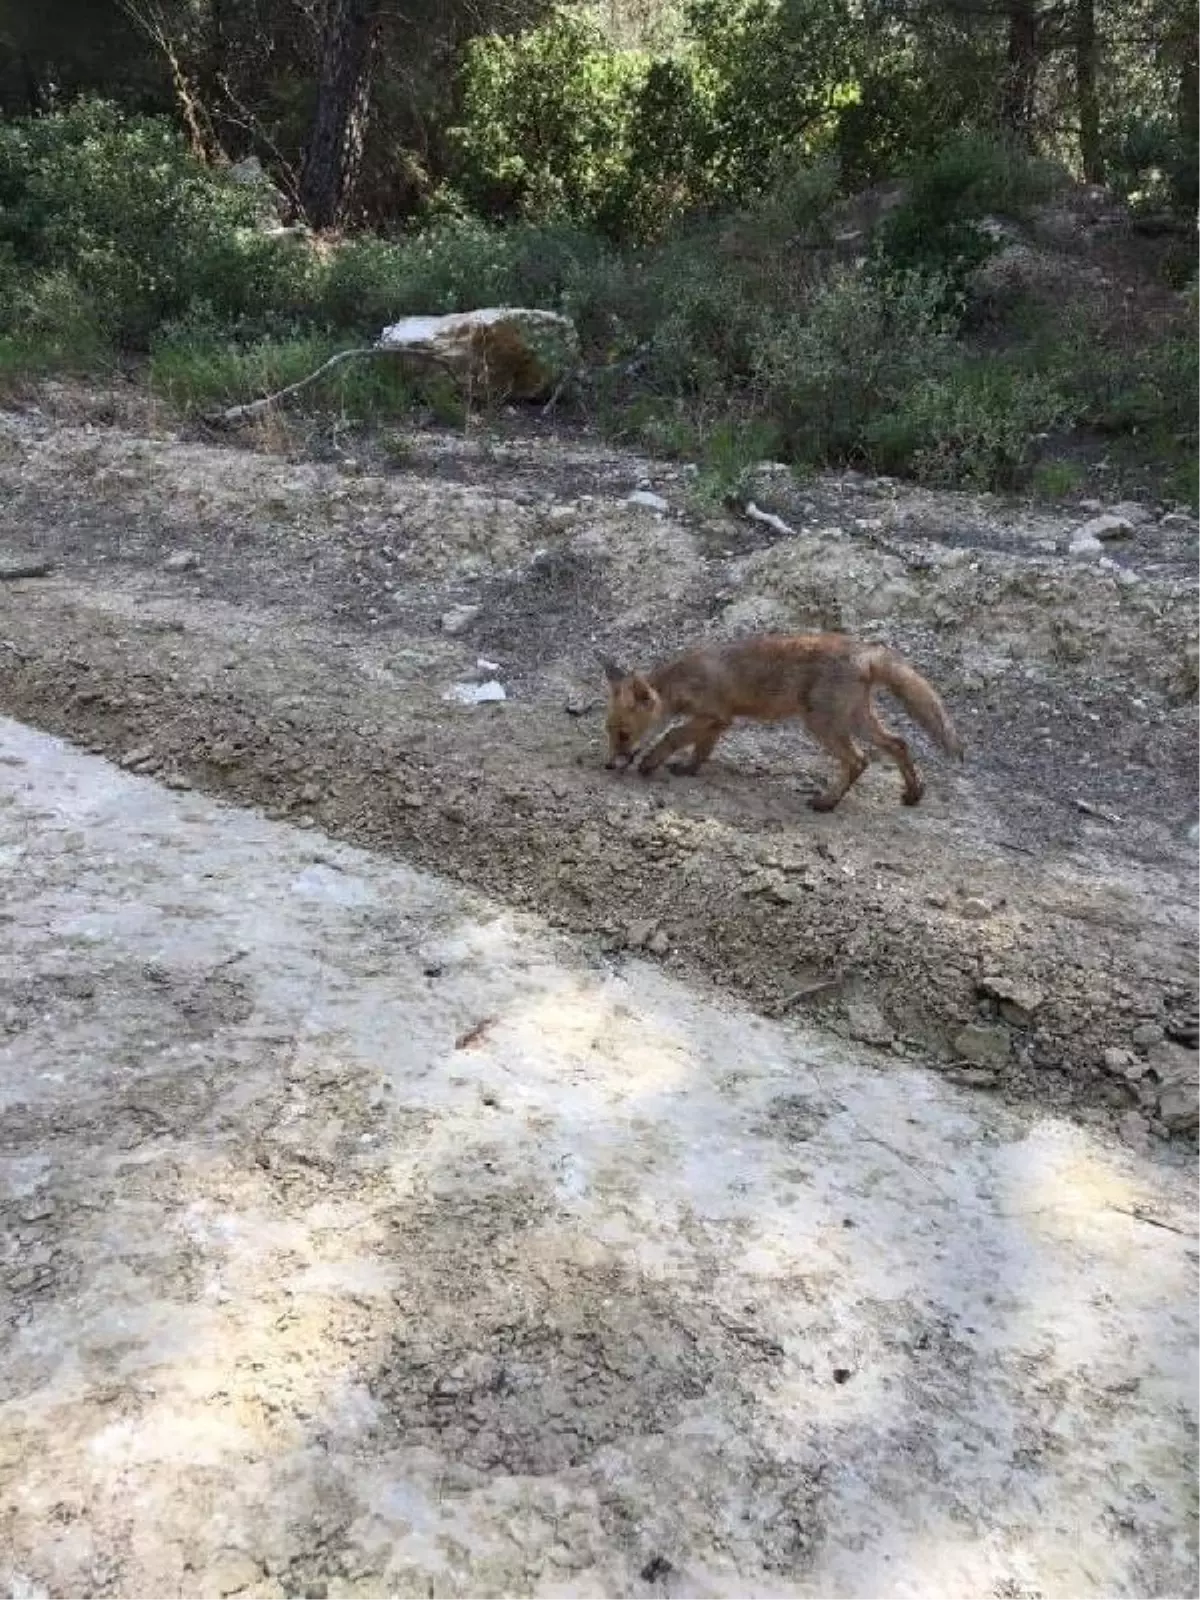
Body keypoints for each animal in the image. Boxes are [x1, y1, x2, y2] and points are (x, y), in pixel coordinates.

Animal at [601, 632, 963, 812]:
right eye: (608, 732)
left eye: (624, 734)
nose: (607, 766)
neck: (685, 680)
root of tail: (864, 652)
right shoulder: (720, 722)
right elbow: (701, 750)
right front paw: (689, 769)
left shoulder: (713, 715)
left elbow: (673, 735)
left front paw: (650, 763)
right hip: (854, 720)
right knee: (898, 744)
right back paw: (913, 793)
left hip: (821, 724)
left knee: (859, 760)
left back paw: (827, 802)